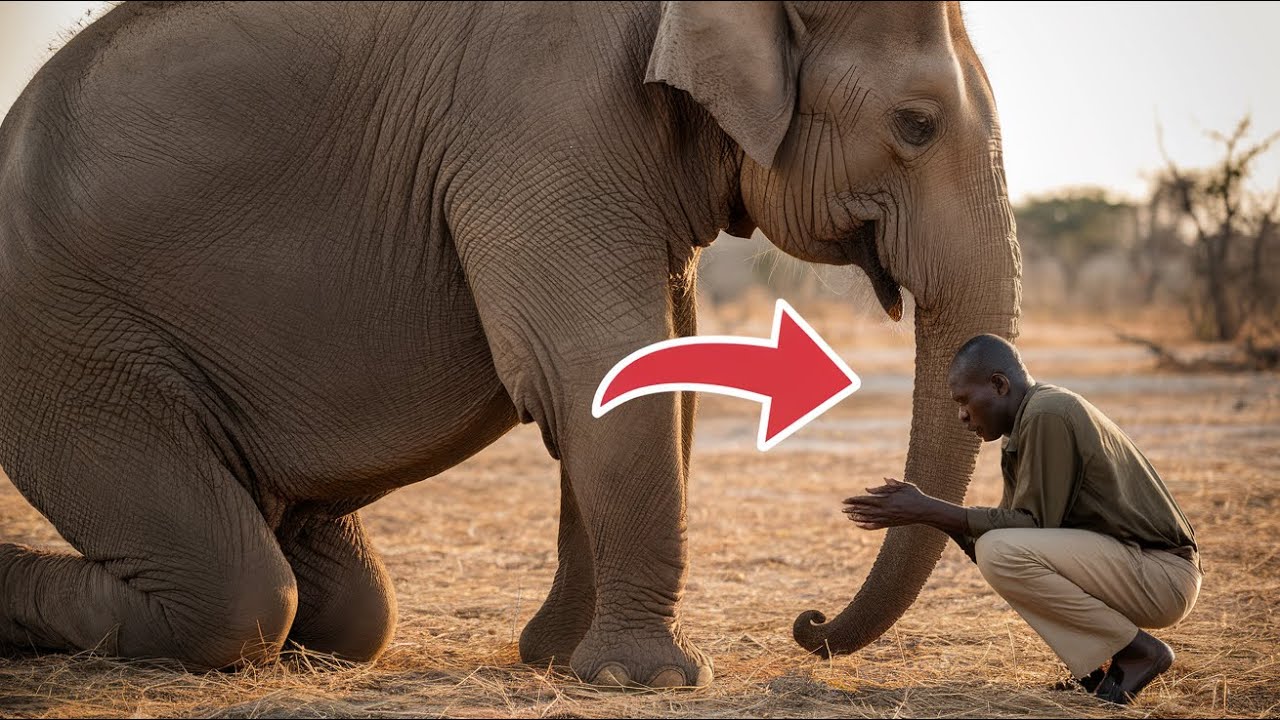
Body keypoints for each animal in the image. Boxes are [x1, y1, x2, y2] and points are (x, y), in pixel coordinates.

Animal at [0, 0, 1021, 688]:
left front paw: (562, 663)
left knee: (342, 602)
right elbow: (593, 366)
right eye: (916, 125)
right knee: (238, 593)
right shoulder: (542, 120)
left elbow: (647, 369)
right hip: (70, 357)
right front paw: (651, 681)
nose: (808, 625)